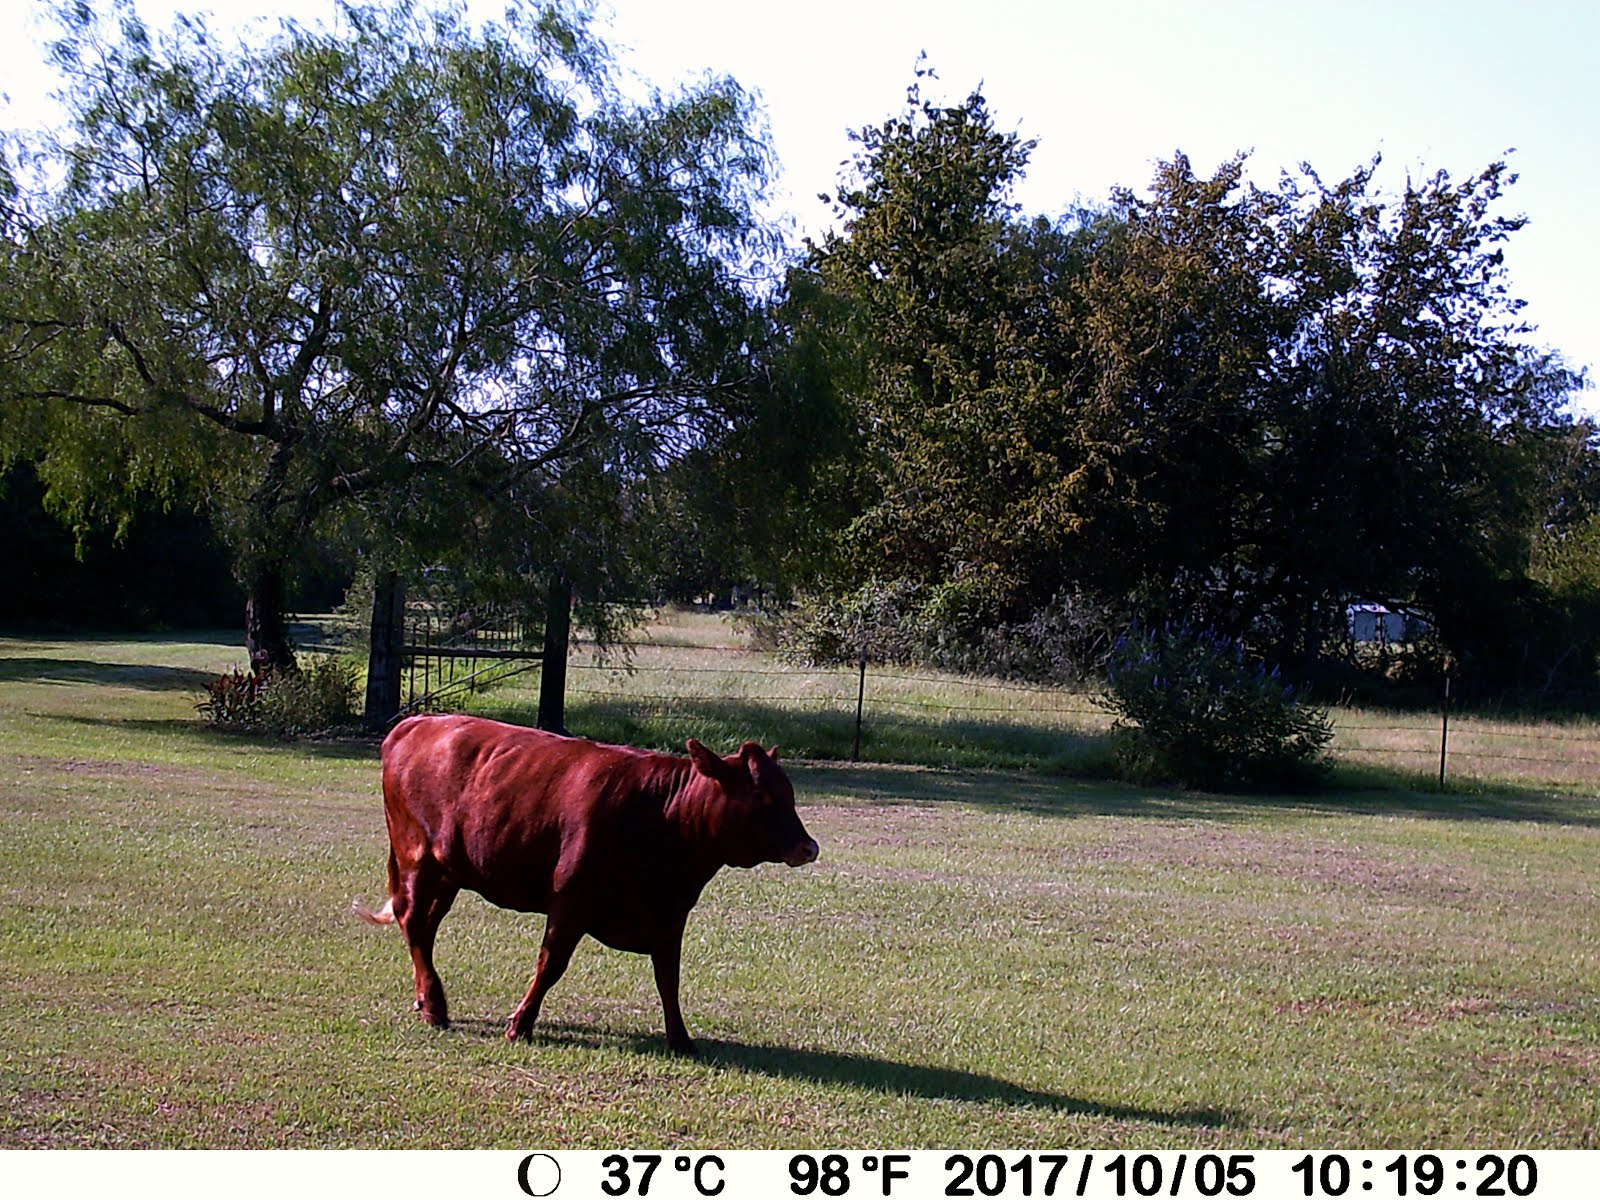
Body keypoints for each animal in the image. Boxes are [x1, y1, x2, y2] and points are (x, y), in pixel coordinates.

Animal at [353, 714, 819, 1056]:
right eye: (761, 797)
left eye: (790, 794)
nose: (809, 847)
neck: (662, 816)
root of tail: (416, 723)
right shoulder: (570, 901)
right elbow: (550, 965)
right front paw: (520, 1025)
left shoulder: (672, 915)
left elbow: (668, 978)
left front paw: (681, 1038)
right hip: (418, 858)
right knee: (414, 921)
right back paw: (435, 1006)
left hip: (450, 871)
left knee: (426, 926)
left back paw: (425, 998)